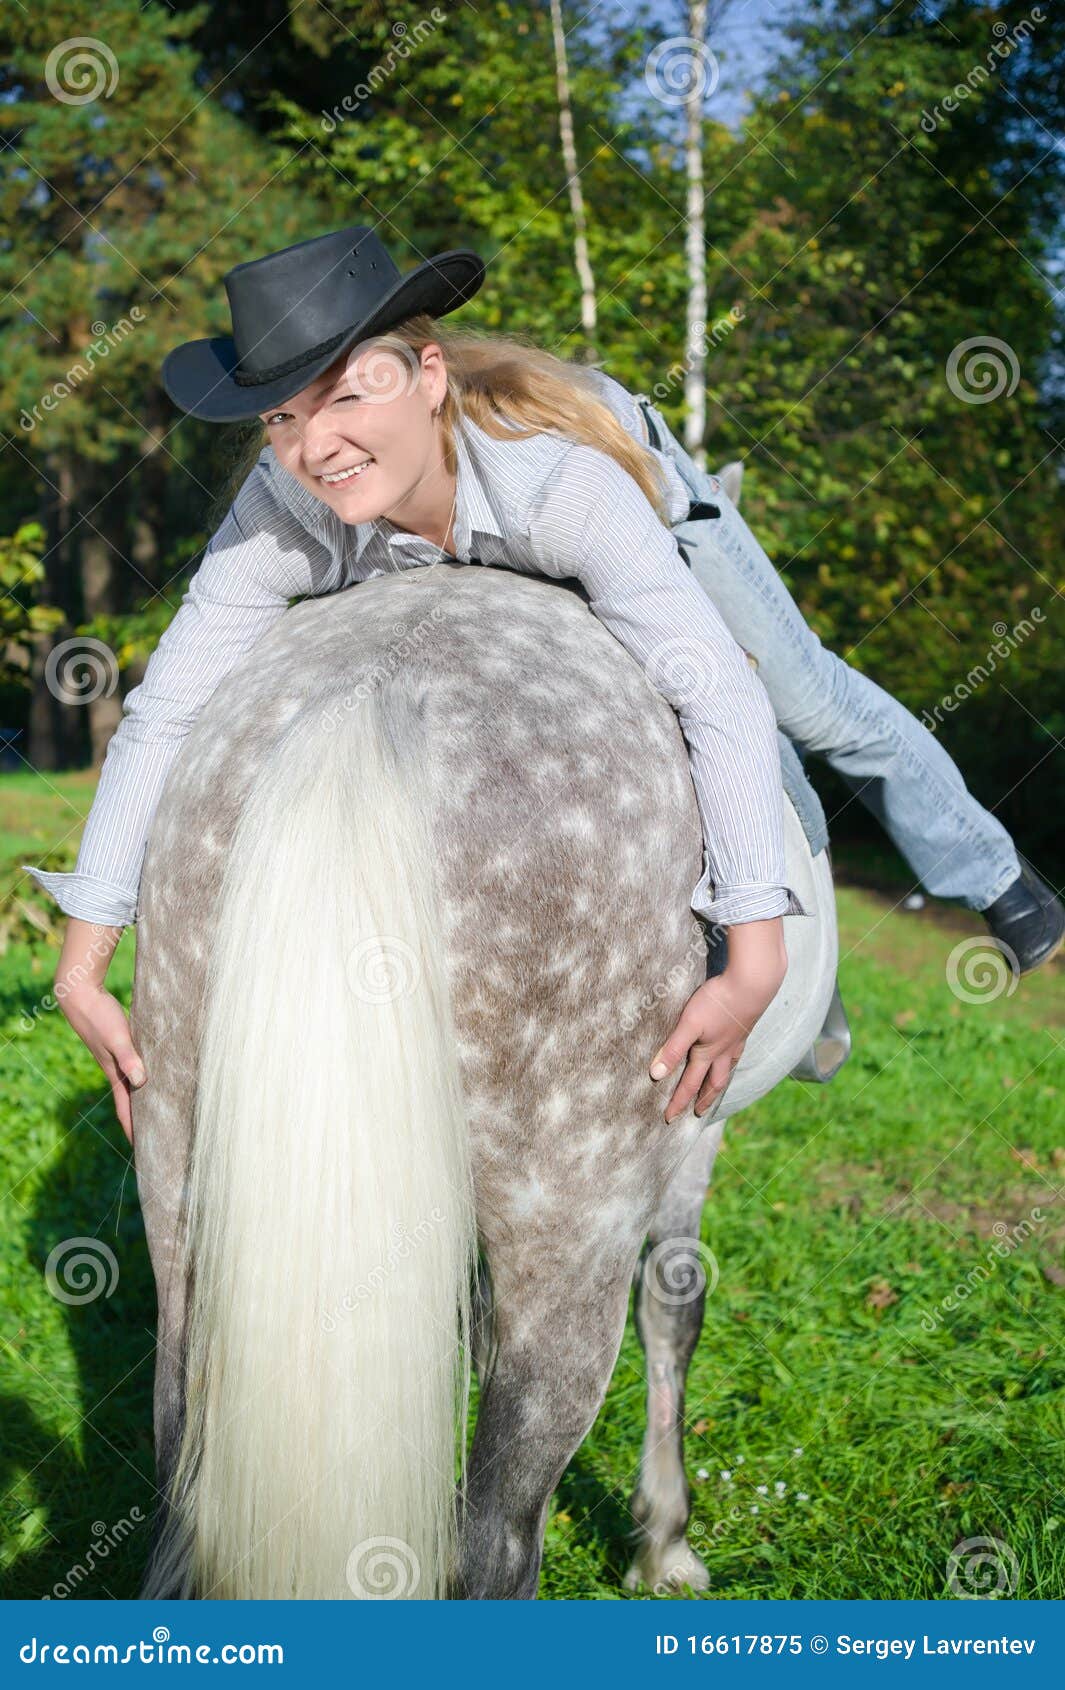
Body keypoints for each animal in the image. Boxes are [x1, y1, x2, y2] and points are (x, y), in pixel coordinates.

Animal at [129, 549, 838, 1600]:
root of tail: (370, 692)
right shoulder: (693, 1136)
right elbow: (676, 1306)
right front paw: (664, 1543)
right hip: (574, 1229)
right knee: (498, 1541)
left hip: (177, 1178)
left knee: (180, 1459)